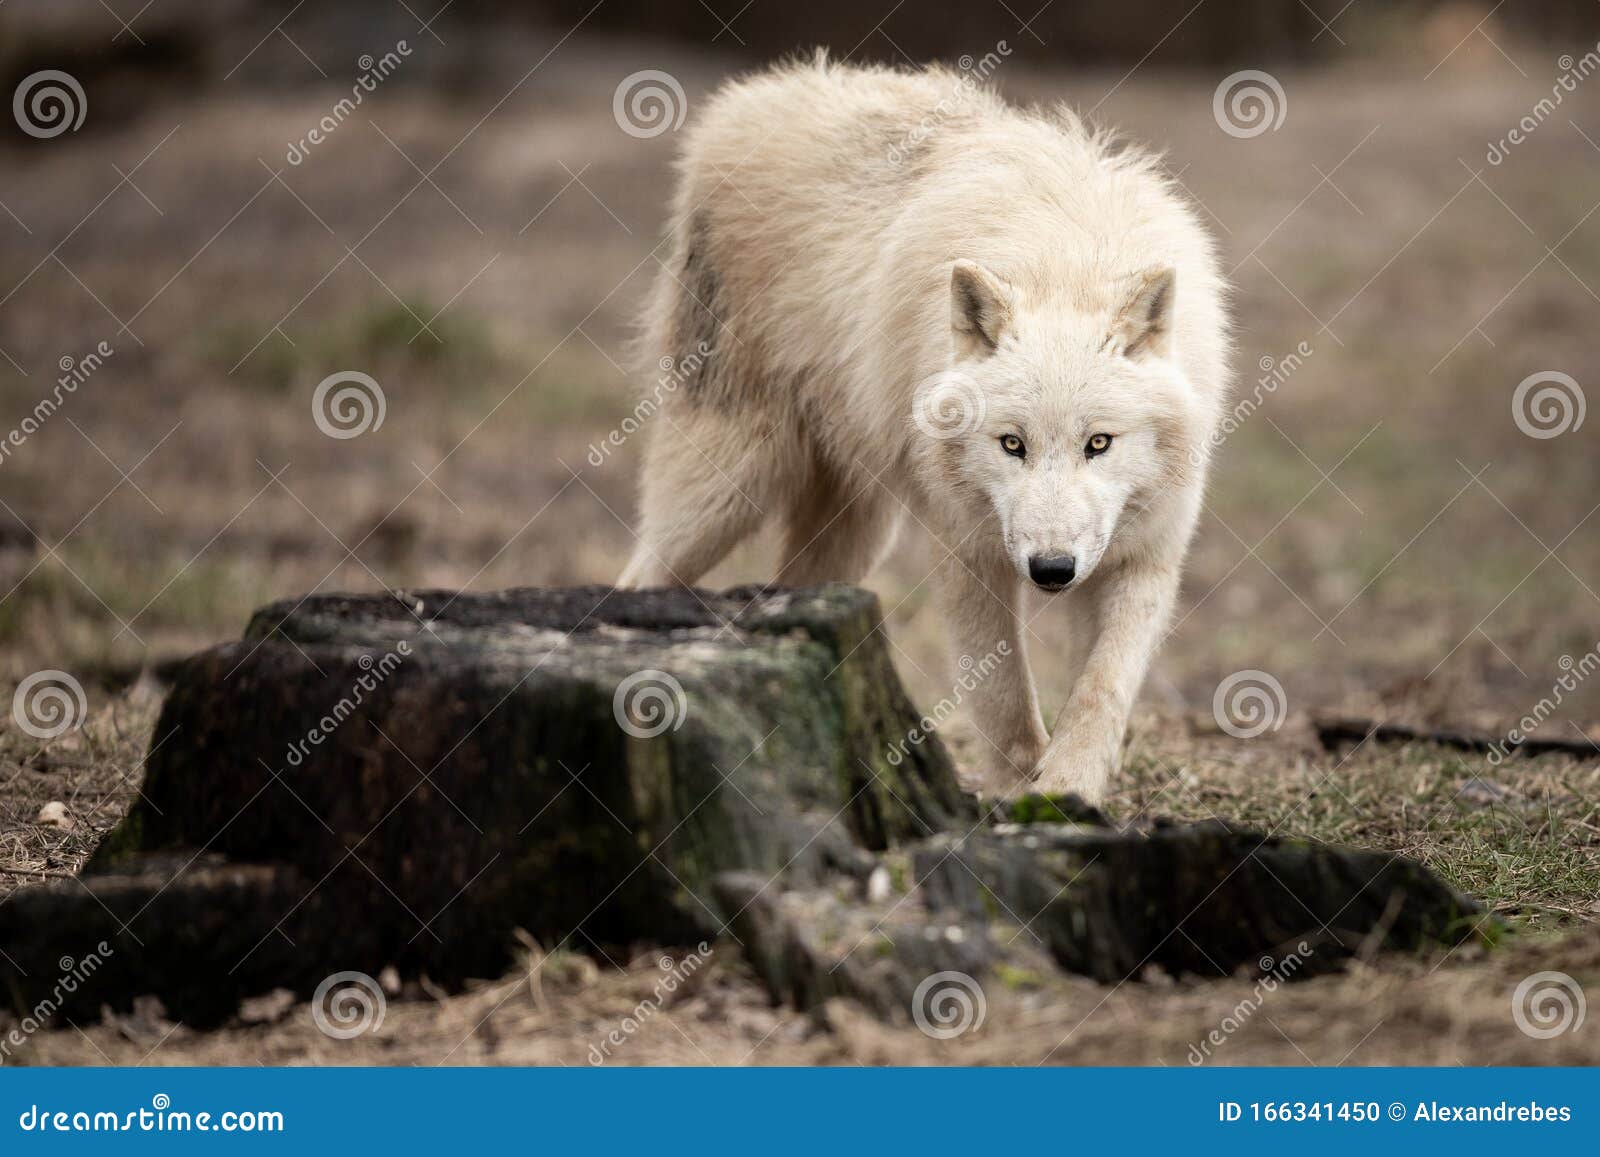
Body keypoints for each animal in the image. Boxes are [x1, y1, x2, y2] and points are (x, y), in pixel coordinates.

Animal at [617, 57, 1230, 802]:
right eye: (1012, 444)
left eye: (1099, 444)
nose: (1051, 570)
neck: (1067, 262)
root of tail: (749, 98)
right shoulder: (966, 550)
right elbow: (1002, 697)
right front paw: (1014, 798)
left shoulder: (1143, 557)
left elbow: (1101, 690)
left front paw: (1068, 793)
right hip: (730, 490)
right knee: (640, 573)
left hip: (855, 530)